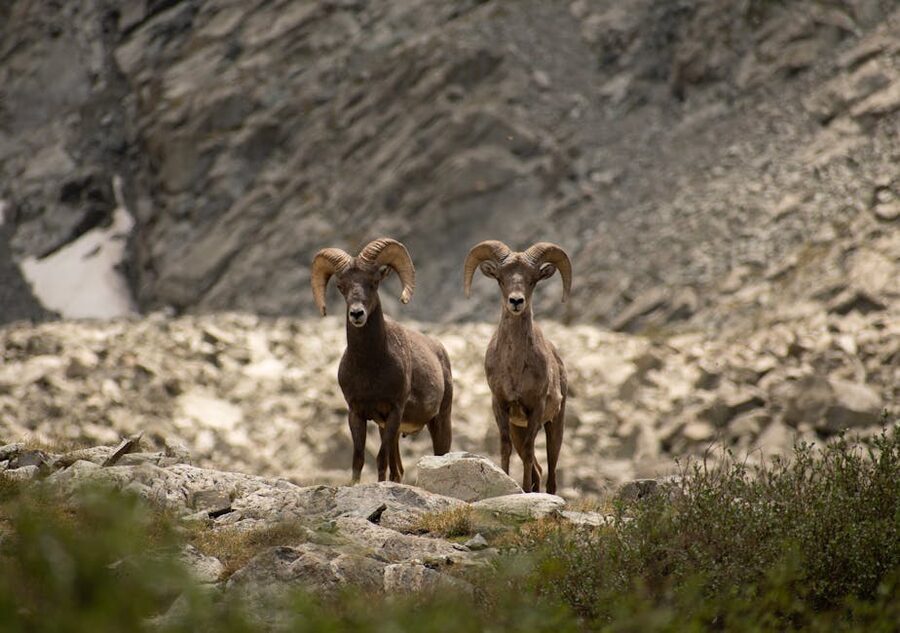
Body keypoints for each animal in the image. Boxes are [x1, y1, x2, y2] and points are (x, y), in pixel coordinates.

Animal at [311, 238, 452, 483]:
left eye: (374, 282)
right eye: (341, 286)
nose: (357, 314)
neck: (370, 367)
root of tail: (440, 350)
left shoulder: (394, 411)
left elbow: (380, 459)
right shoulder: (357, 413)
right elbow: (358, 459)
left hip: (440, 421)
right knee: (398, 471)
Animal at [463, 240, 571, 493]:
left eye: (532, 280)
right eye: (501, 279)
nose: (515, 302)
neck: (514, 369)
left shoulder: (536, 409)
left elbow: (531, 451)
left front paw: (524, 490)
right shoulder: (501, 406)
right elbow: (505, 448)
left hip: (555, 425)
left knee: (551, 471)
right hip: (518, 428)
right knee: (537, 469)